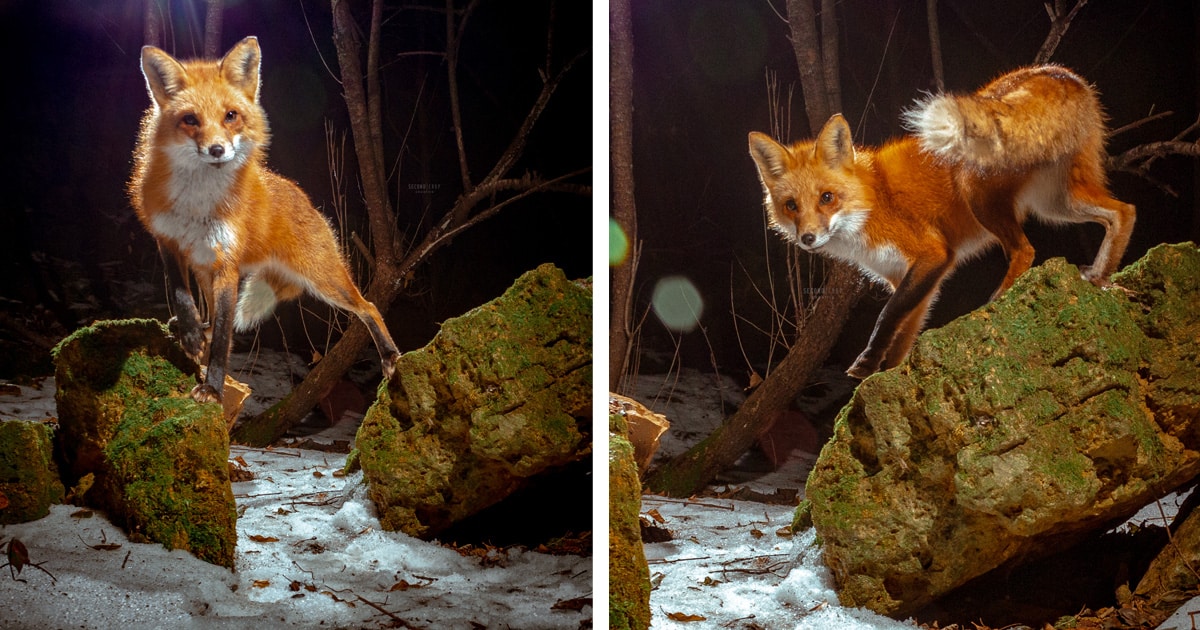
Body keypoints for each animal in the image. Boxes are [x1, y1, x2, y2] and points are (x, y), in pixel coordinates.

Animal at [129, 36, 400, 404]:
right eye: (190, 120)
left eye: (231, 116)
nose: (217, 149)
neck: (198, 202)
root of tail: (303, 196)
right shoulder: (169, 241)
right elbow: (182, 296)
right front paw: (191, 335)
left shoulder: (226, 263)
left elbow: (223, 341)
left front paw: (213, 388)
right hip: (206, 269)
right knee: (212, 314)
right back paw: (199, 329)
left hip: (323, 277)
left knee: (368, 305)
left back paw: (389, 355)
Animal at [748, 64, 1135, 379]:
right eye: (791, 206)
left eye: (827, 198)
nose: (808, 238)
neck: (873, 200)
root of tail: (1055, 71)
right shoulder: (909, 277)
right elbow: (902, 335)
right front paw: (884, 373)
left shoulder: (933, 254)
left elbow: (886, 315)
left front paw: (867, 364)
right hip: (1056, 203)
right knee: (1124, 211)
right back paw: (1101, 276)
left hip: (979, 192)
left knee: (1025, 250)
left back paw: (997, 302)